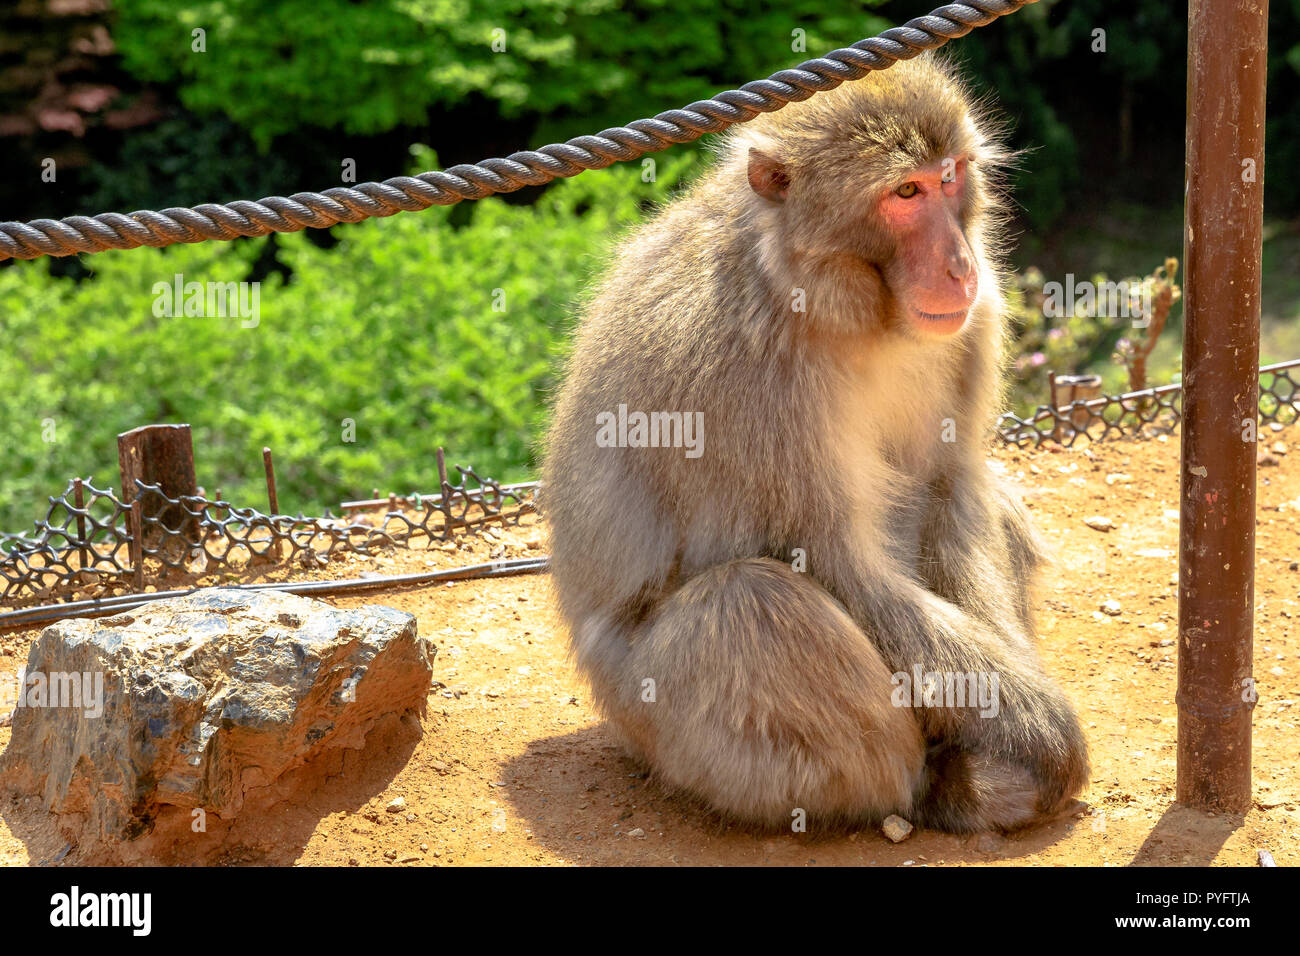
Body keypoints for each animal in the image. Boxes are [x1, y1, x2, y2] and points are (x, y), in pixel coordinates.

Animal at [541, 53, 1088, 833]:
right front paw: (1043, 732)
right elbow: (831, 559)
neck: (842, 309)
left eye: (949, 177)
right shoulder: (740, 374)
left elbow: (947, 484)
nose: (961, 265)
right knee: (750, 607)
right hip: (649, 726)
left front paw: (1018, 715)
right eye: (904, 193)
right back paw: (922, 789)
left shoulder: (972, 322)